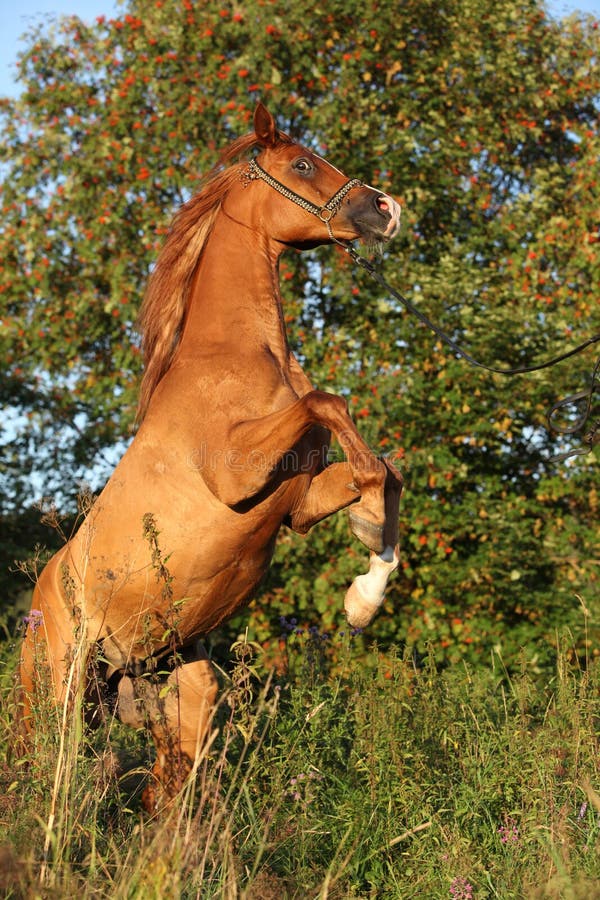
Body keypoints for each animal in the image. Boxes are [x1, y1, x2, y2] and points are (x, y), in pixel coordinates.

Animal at [18, 103, 403, 810]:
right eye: (302, 163)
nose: (385, 209)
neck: (236, 355)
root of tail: (39, 603)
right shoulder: (236, 473)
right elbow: (332, 405)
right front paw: (363, 587)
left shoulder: (297, 502)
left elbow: (385, 472)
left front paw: (364, 590)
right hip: (60, 688)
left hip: (178, 691)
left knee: (169, 792)